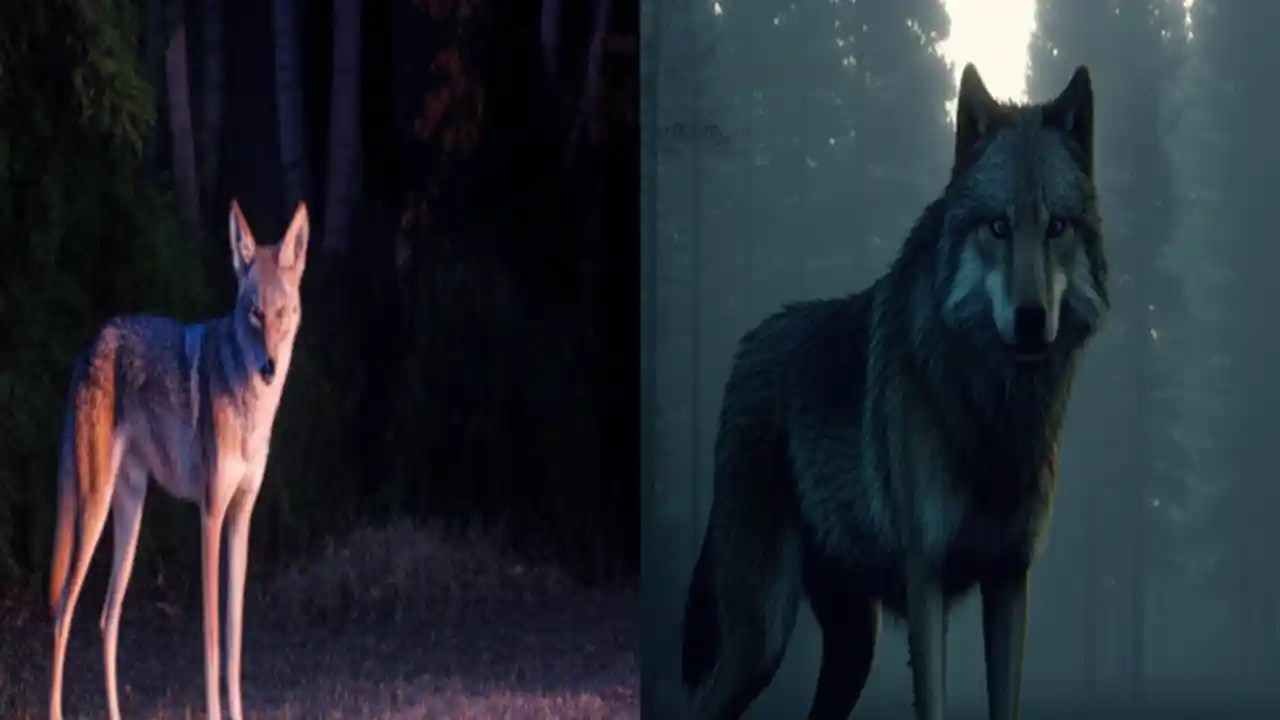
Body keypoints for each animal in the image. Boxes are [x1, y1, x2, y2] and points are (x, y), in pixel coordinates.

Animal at [48, 201, 310, 720]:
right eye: (254, 314)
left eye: (283, 313)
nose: (269, 368)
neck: (253, 410)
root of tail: (91, 344)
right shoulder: (209, 516)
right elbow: (211, 642)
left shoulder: (240, 520)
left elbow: (233, 646)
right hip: (93, 512)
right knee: (63, 611)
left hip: (129, 516)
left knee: (107, 619)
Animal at [680, 64, 1108, 720]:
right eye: (999, 226)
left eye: (1056, 226)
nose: (1032, 319)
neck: (993, 407)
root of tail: (749, 343)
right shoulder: (926, 578)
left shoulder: (1009, 580)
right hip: (763, 636)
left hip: (854, 647)